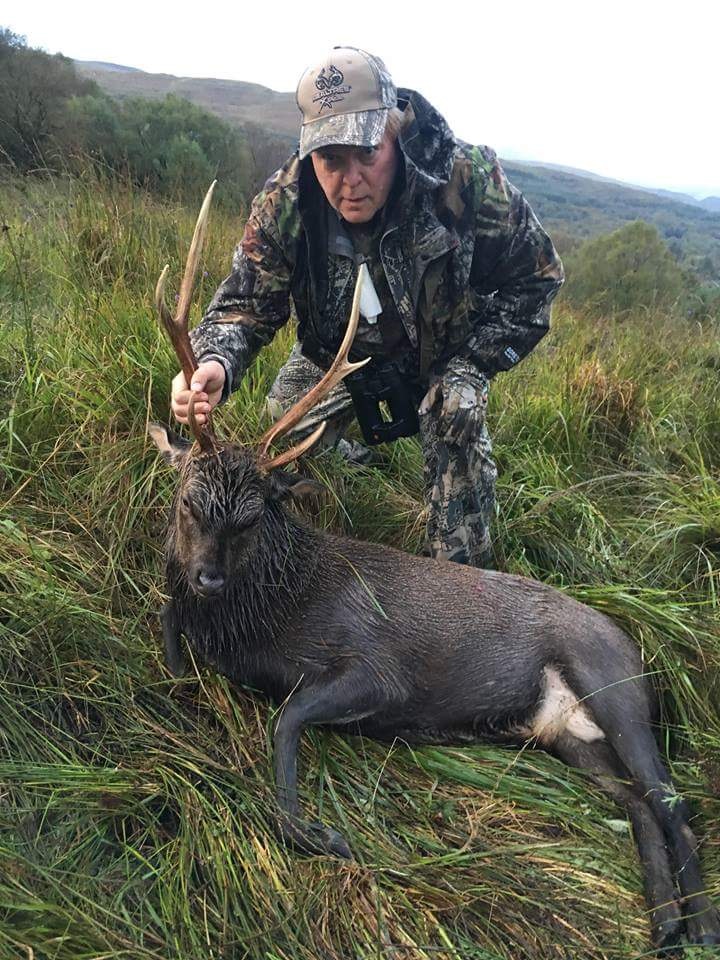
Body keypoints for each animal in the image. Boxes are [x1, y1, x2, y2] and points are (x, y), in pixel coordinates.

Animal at [149, 184, 720, 952]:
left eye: (254, 515)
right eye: (188, 501)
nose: (207, 578)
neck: (271, 610)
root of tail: (639, 646)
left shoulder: (375, 668)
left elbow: (286, 722)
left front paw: (324, 835)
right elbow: (170, 630)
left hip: (615, 688)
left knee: (675, 803)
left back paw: (700, 926)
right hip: (567, 736)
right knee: (638, 805)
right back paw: (661, 924)